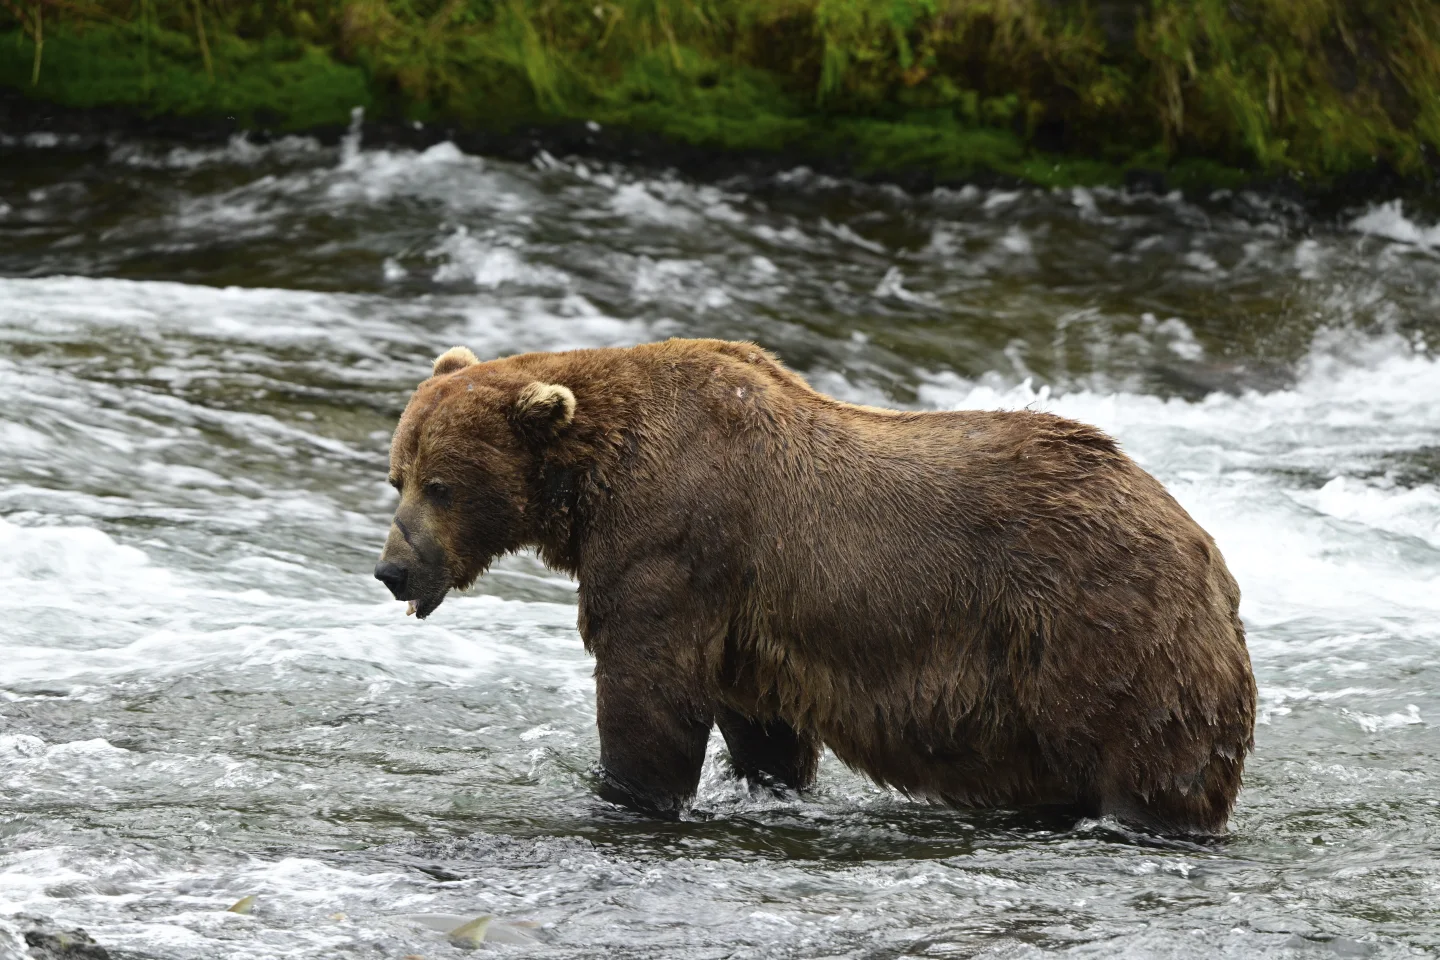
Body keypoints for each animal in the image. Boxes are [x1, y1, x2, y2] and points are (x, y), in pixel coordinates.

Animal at [374, 338, 1257, 834]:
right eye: (398, 476)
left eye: (441, 484)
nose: (392, 569)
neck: (592, 479)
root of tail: (1208, 551)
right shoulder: (744, 615)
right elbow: (759, 724)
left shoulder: (674, 539)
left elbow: (647, 691)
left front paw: (624, 792)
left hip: (1105, 629)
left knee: (1150, 761)